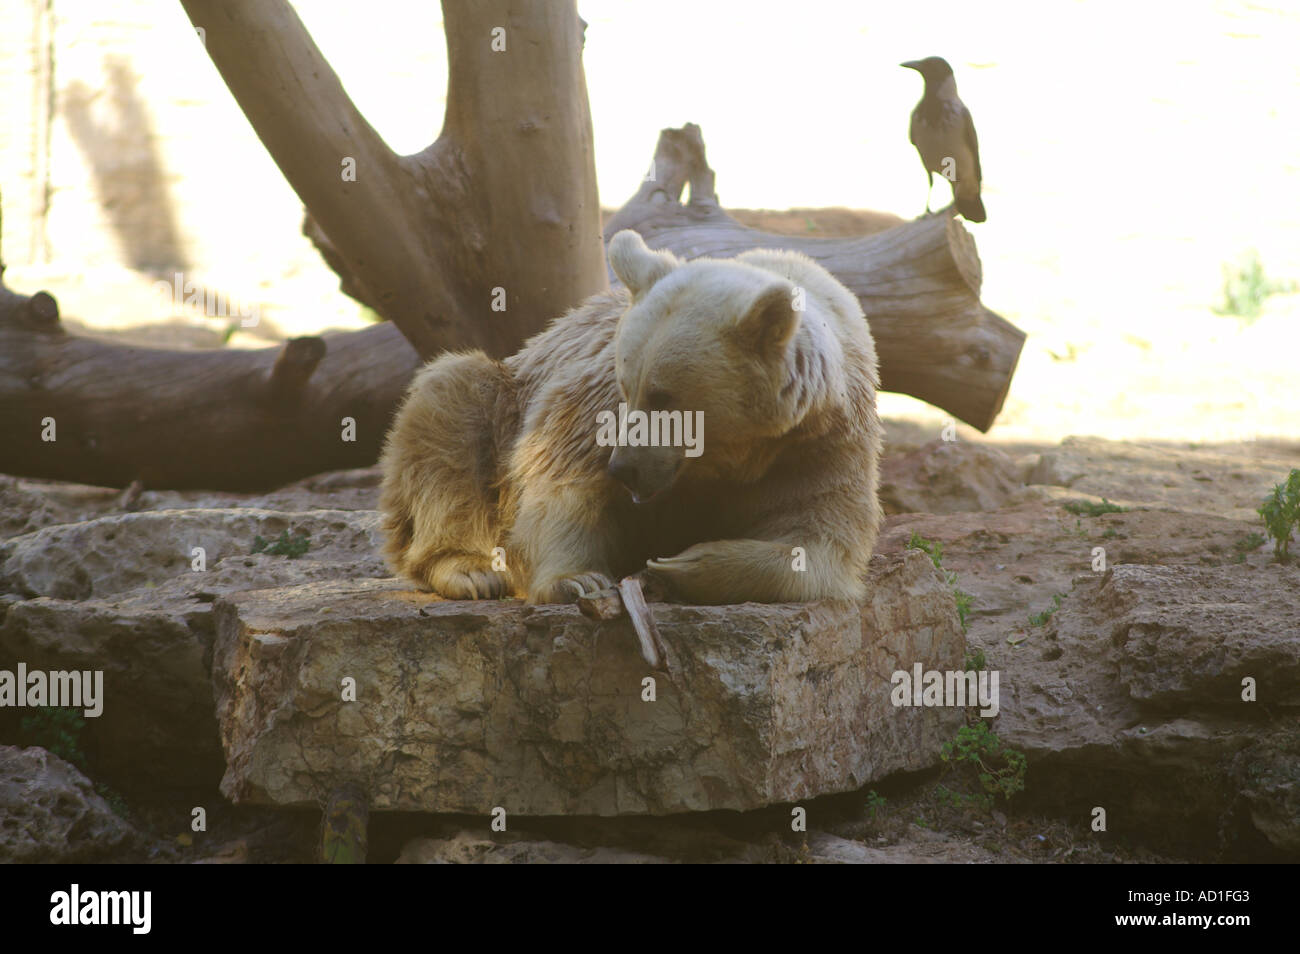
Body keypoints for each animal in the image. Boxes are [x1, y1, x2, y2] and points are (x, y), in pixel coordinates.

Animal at [378, 229, 883, 605]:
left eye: (664, 397)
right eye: (628, 386)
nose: (624, 467)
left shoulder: (819, 442)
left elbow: (815, 541)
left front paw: (685, 563)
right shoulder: (592, 396)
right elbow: (562, 475)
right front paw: (575, 578)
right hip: (507, 394)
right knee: (451, 403)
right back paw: (470, 569)